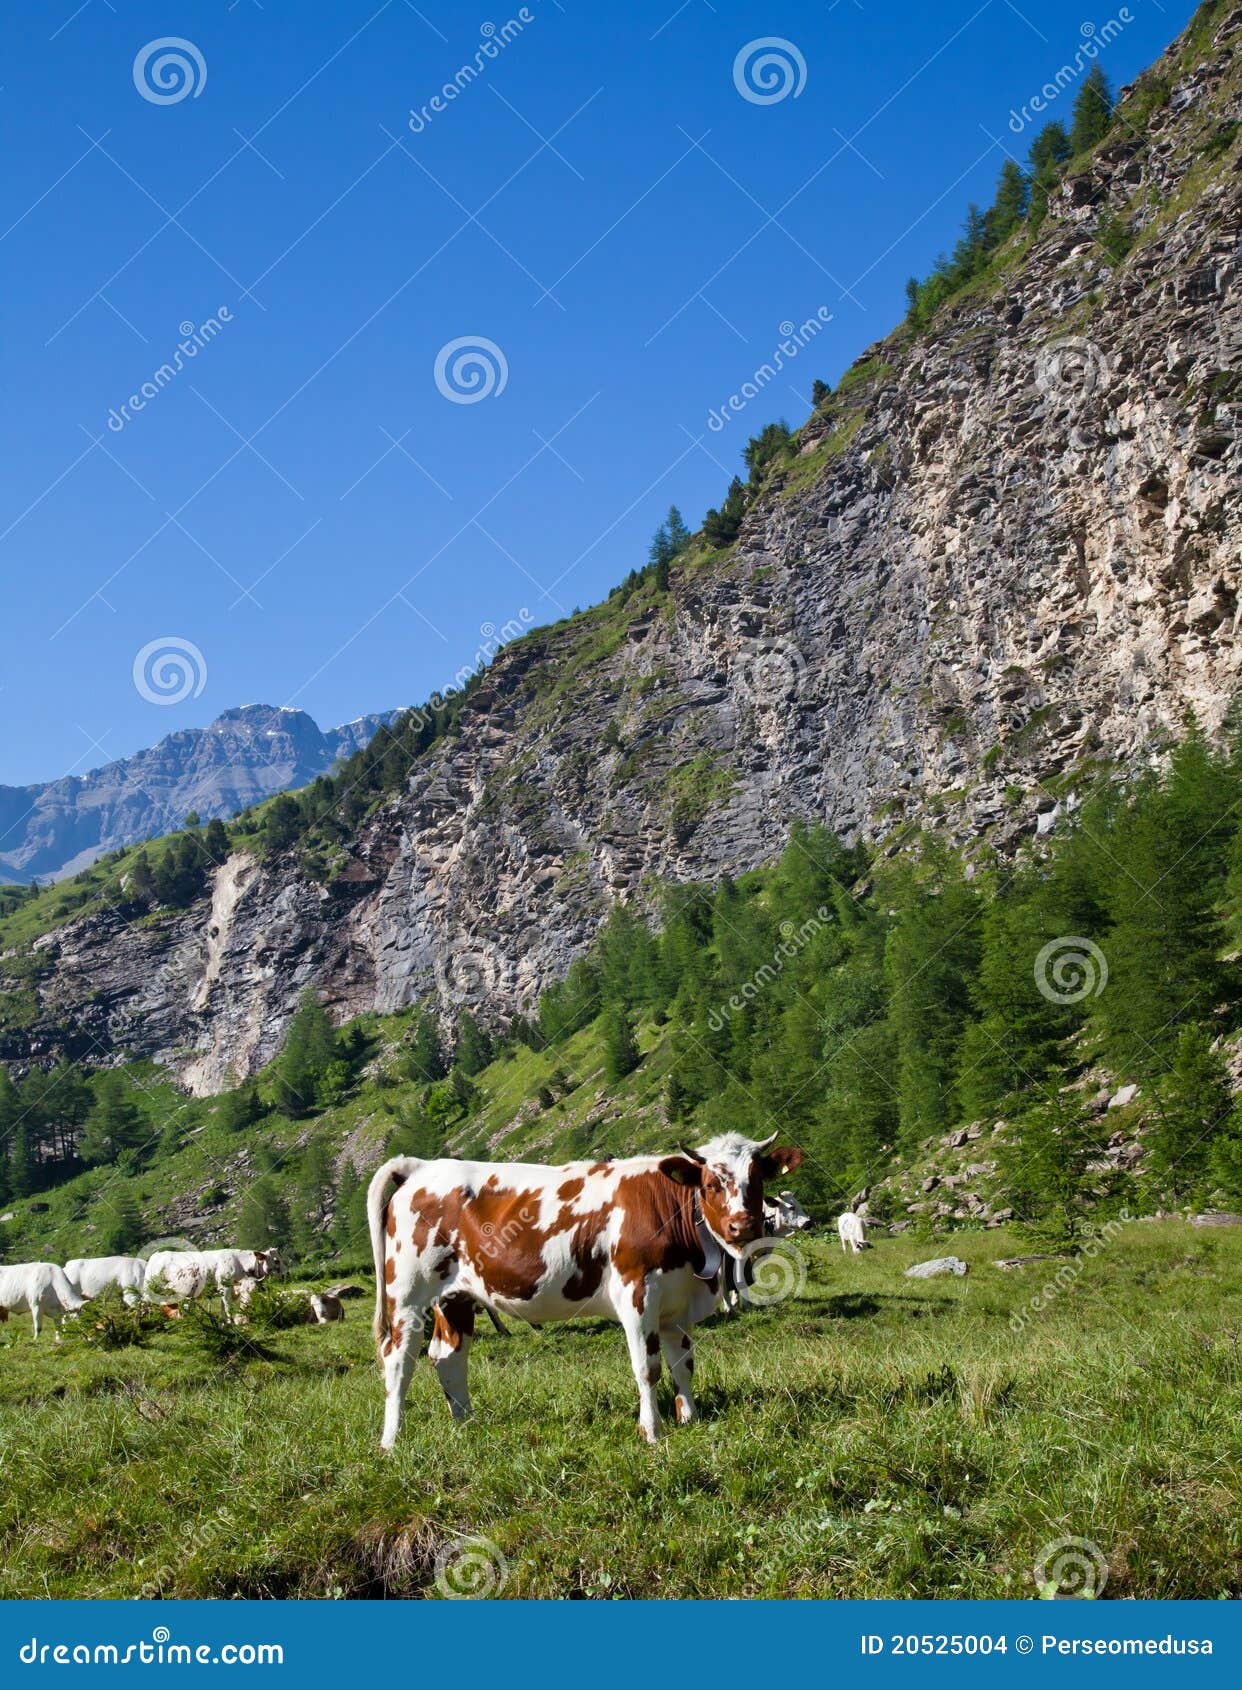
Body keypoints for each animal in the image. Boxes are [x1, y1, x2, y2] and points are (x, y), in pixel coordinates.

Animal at [143, 1248, 275, 1319]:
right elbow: (227, 1306)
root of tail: (156, 1255)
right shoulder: (225, 1288)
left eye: (255, 1290)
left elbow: (223, 1306)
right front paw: (230, 1322)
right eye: (276, 1261)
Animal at [368, 1131, 804, 1447]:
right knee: (398, 1360)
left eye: (758, 1180)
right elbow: (648, 1368)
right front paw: (653, 1432)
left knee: (449, 1357)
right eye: (712, 1183)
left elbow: (683, 1365)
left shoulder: (676, 1305)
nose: (743, 1226)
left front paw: (689, 1419)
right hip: (407, 1296)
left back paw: (466, 1425)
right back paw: (392, 1440)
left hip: (454, 1297)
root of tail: (422, 1167)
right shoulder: (637, 1295)